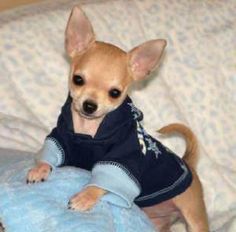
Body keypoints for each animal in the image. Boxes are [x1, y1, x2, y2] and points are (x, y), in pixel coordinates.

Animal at [27, 6, 208, 231]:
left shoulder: (123, 159)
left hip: (193, 215)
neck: (87, 130)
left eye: (115, 93)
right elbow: (51, 154)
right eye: (78, 80)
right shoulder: (61, 138)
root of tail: (188, 163)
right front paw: (40, 168)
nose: (89, 105)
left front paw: (86, 196)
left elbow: (103, 181)